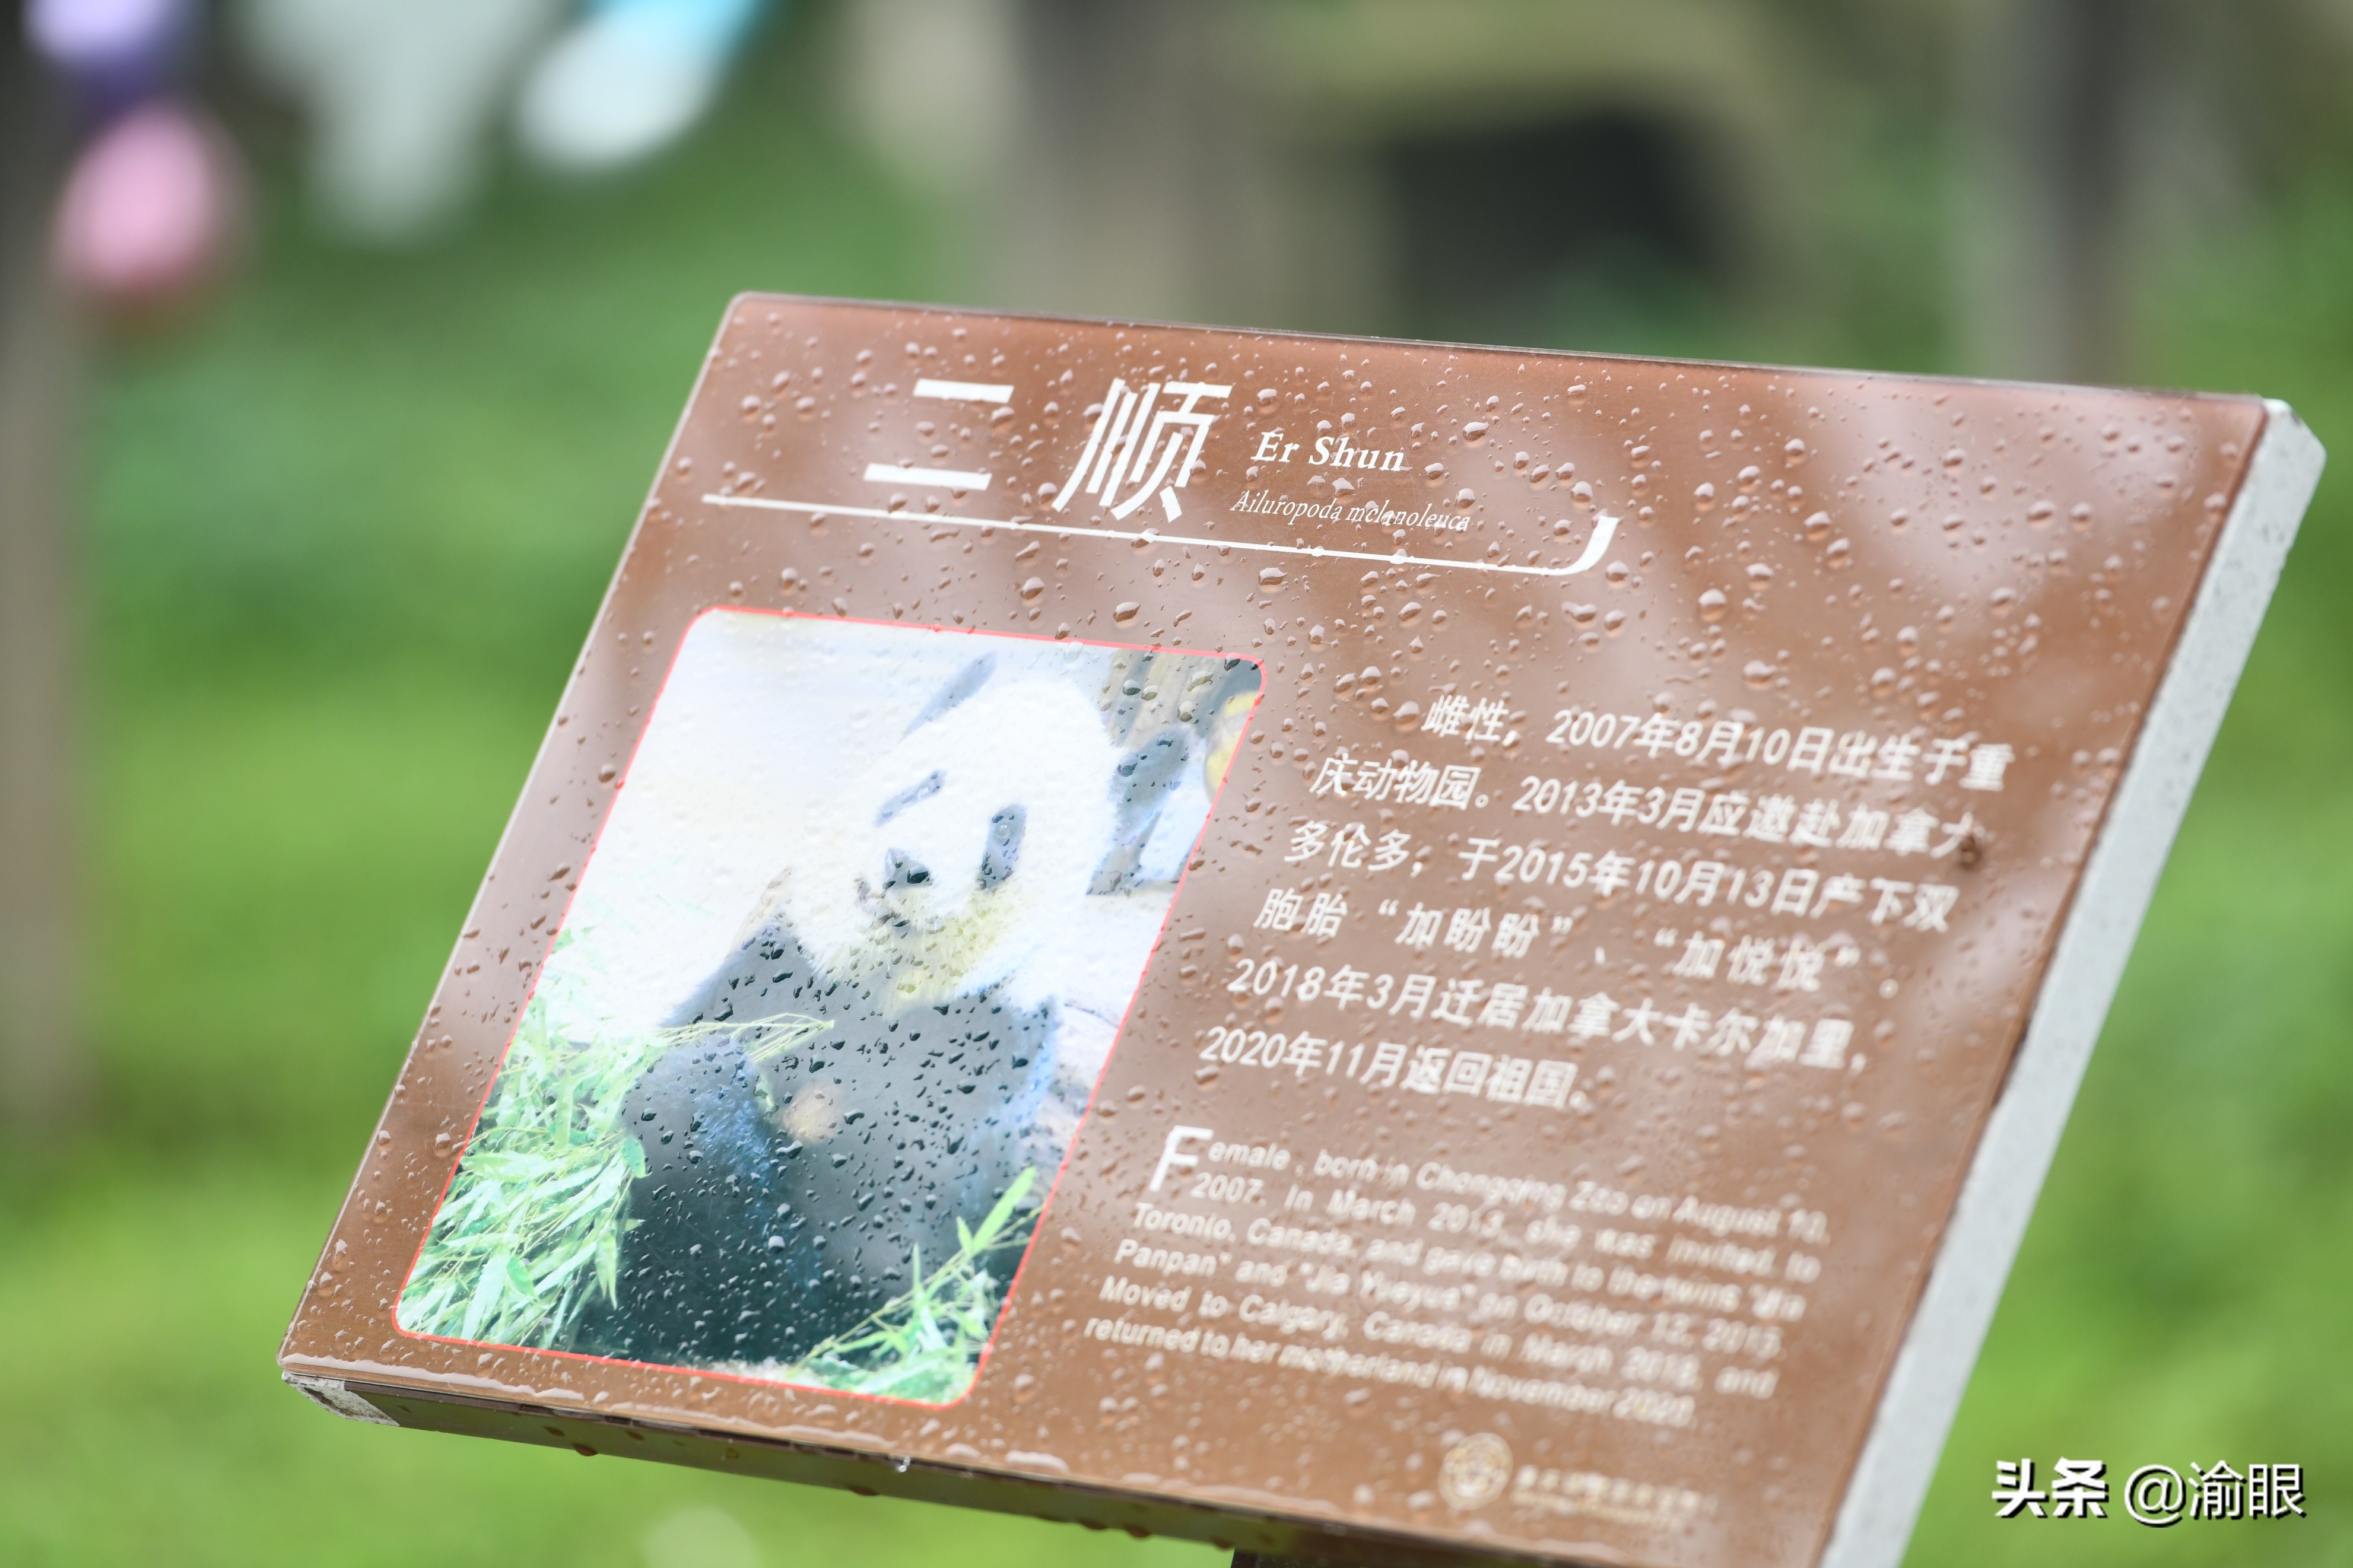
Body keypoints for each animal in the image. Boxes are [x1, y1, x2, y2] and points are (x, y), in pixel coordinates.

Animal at [578, 654, 1118, 1370]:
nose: (906, 865)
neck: (883, 986)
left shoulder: (970, 1082)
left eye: (1006, 828)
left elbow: (856, 1290)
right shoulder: (774, 969)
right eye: (924, 785)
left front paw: (699, 1090)